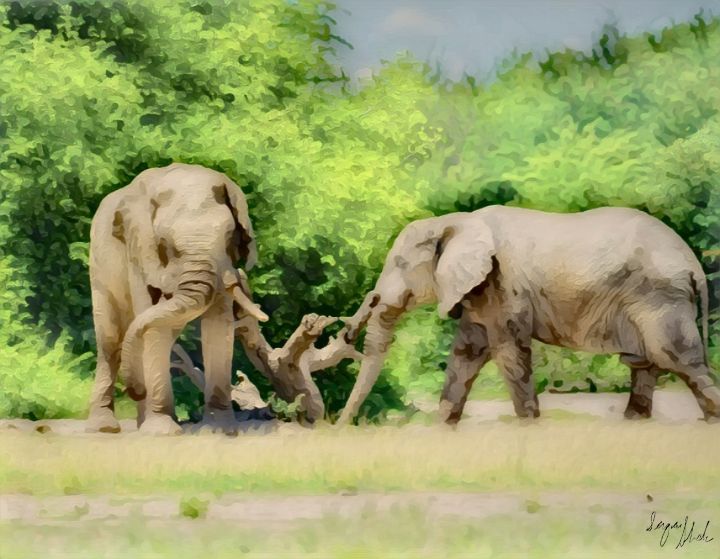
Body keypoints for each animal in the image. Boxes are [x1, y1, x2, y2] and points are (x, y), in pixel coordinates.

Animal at [86, 163, 316, 434]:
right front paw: (162, 430)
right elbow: (153, 326)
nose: (134, 389)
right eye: (165, 243)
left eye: (228, 236)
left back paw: (142, 423)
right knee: (110, 342)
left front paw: (220, 428)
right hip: (99, 269)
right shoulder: (139, 250)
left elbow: (219, 326)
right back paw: (105, 427)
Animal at [337, 205, 720, 425]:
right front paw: (444, 427)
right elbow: (466, 354)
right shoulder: (481, 292)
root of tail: (694, 266)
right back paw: (634, 423)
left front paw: (529, 426)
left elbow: (508, 353)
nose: (338, 427)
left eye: (400, 264)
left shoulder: (503, 283)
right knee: (646, 366)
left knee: (679, 361)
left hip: (659, 297)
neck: (454, 222)